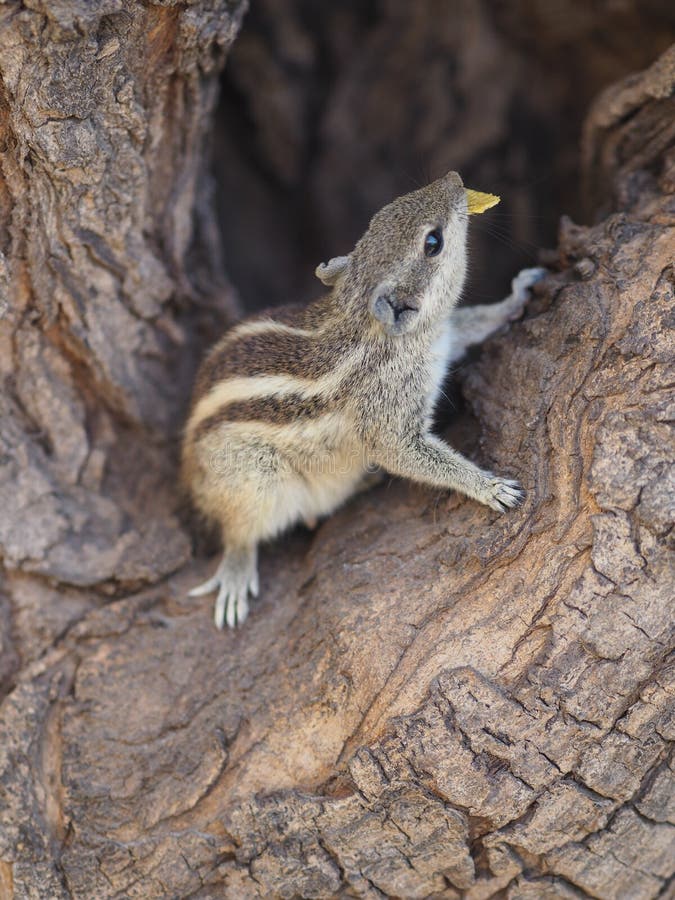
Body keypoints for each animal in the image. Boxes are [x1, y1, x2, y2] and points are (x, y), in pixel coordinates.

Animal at [182, 171, 545, 628]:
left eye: (383, 212)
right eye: (433, 242)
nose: (454, 178)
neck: (364, 324)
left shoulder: (446, 335)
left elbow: (476, 322)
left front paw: (517, 296)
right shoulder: (386, 410)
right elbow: (402, 451)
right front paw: (488, 486)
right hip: (250, 477)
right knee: (238, 530)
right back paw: (235, 570)